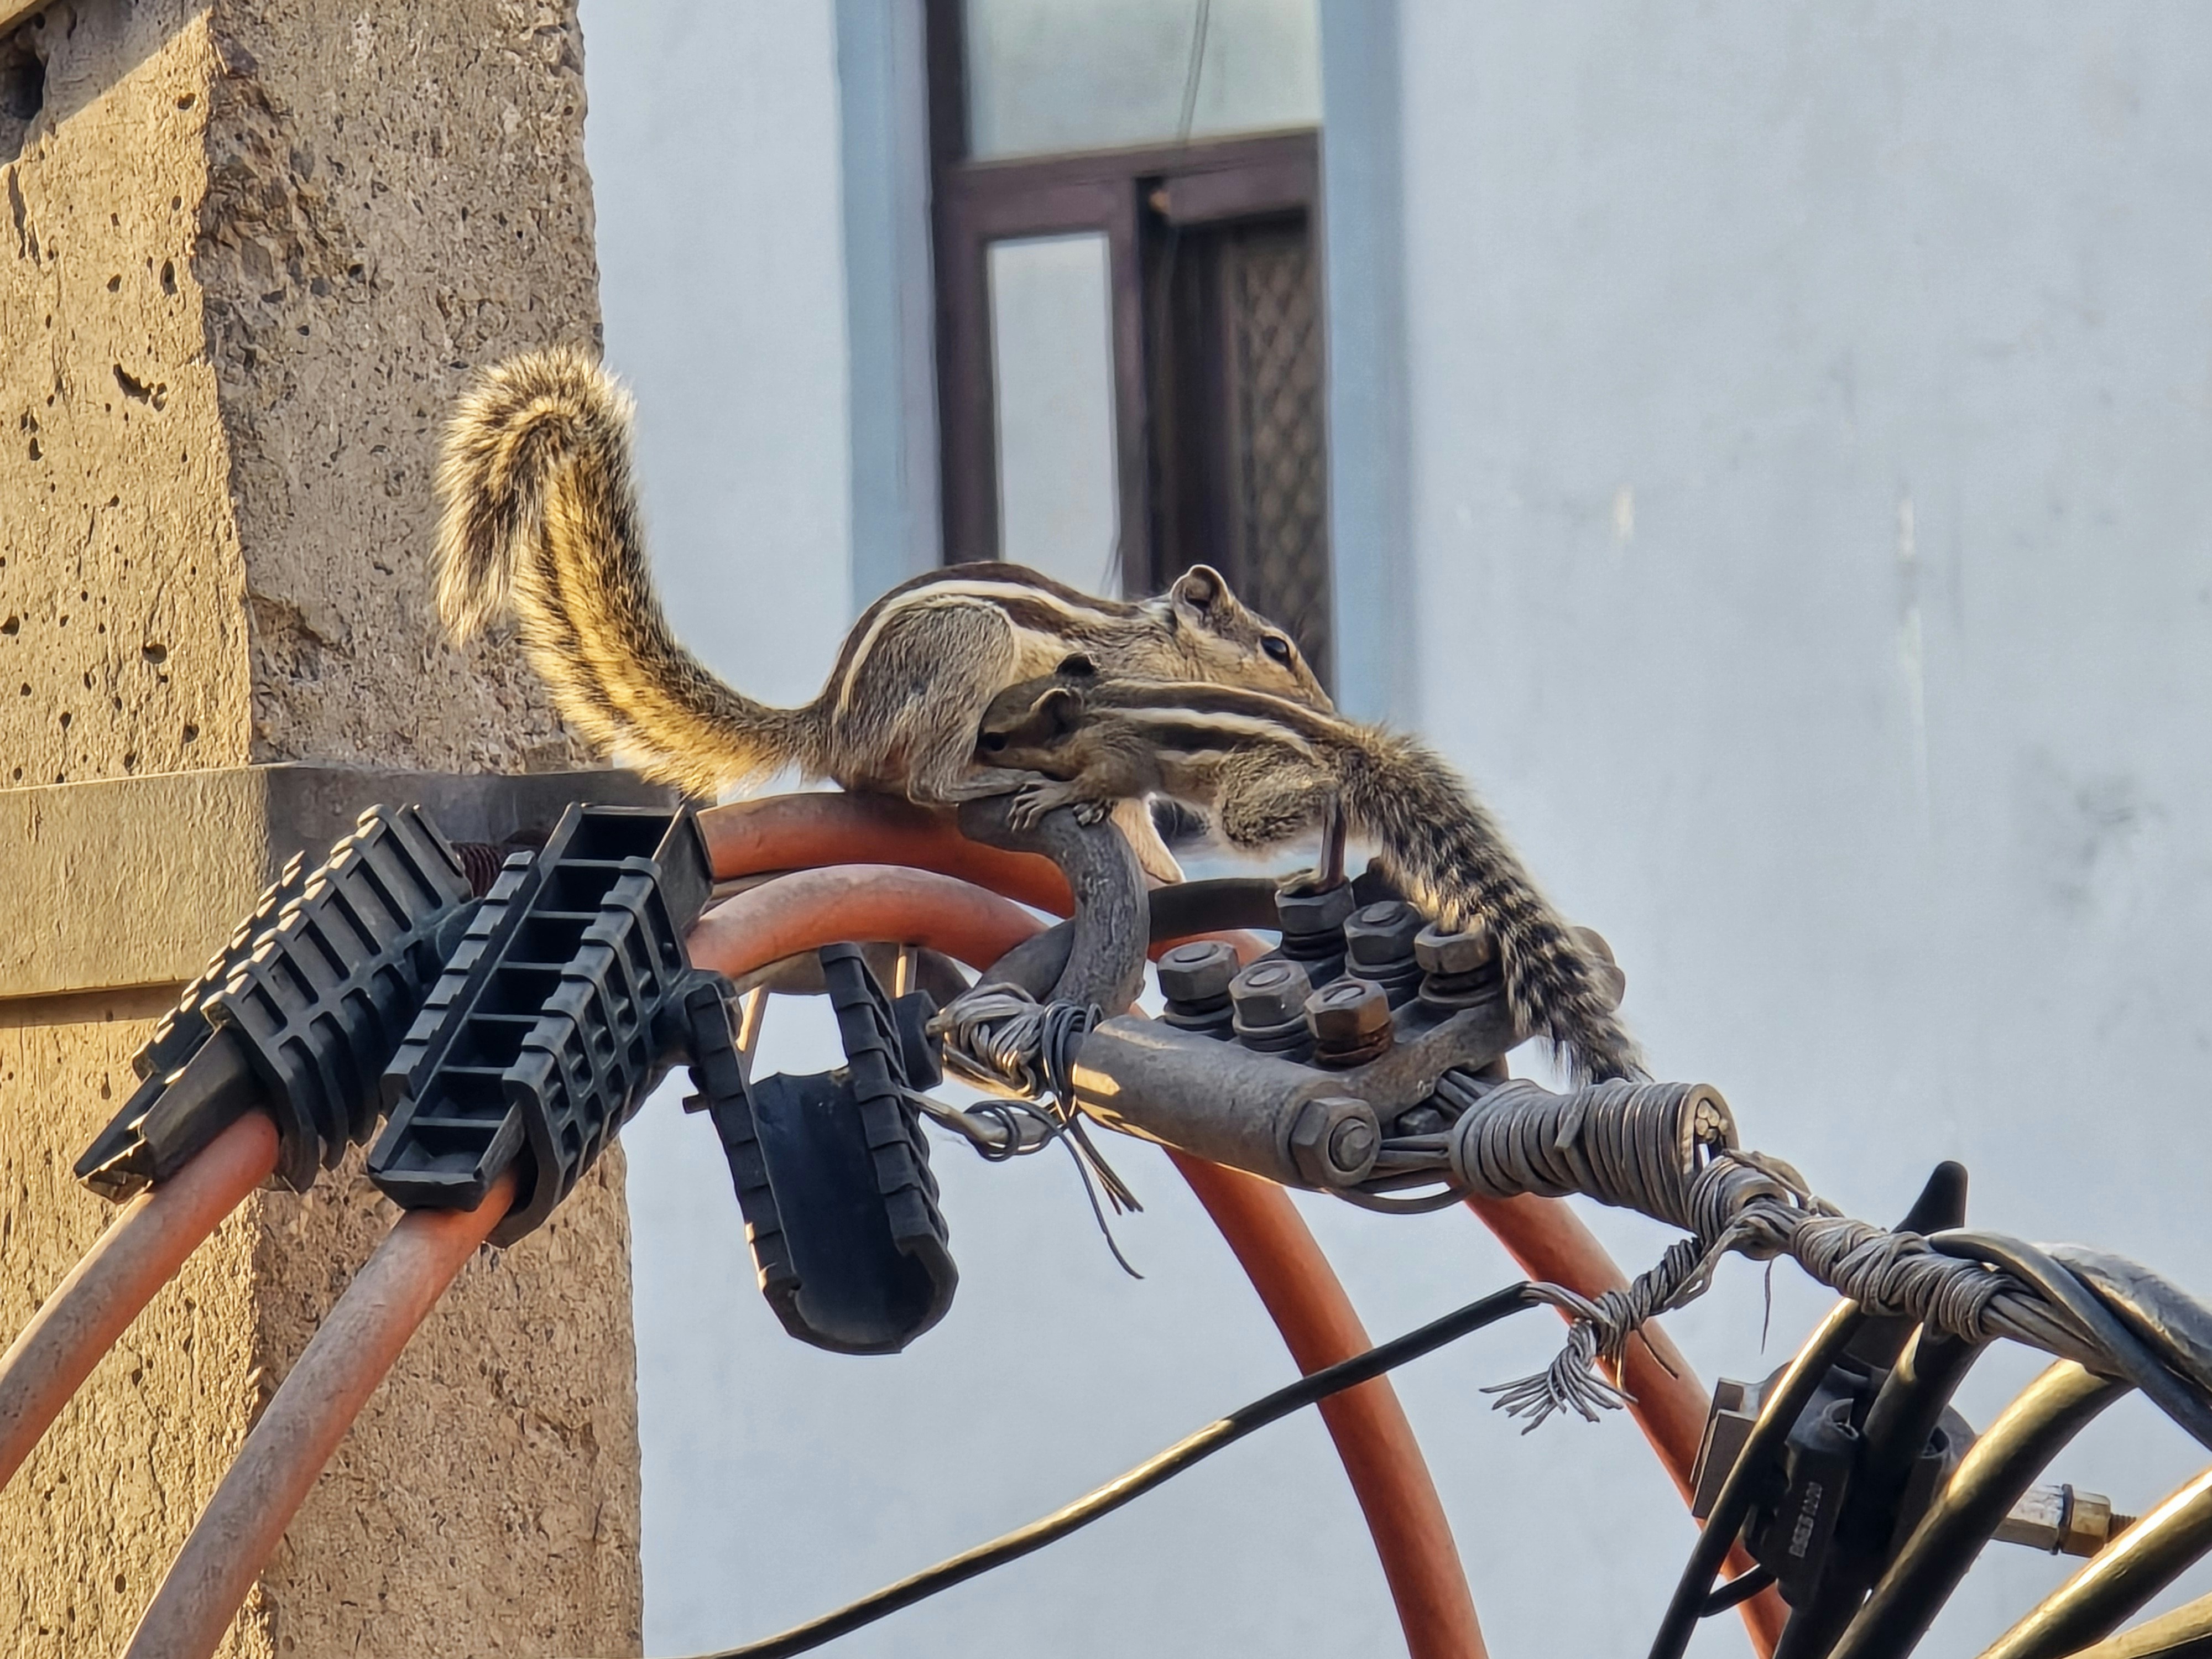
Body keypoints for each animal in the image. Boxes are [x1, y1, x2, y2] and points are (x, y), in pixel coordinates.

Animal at [431, 346, 1330, 883]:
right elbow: (1131, 808)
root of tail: (831, 724)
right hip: (969, 647)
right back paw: (984, 776)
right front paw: (1164, 872)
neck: (1158, 644)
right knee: (926, 783)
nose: (1322, 705)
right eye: (1278, 647)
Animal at [971, 661, 1647, 1084]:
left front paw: (1053, 794)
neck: (1092, 709)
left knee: (1328, 796)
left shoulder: (1119, 753)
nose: (967, 757)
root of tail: (1348, 749)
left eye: (995, 739)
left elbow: (1104, 780)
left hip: (1247, 807)